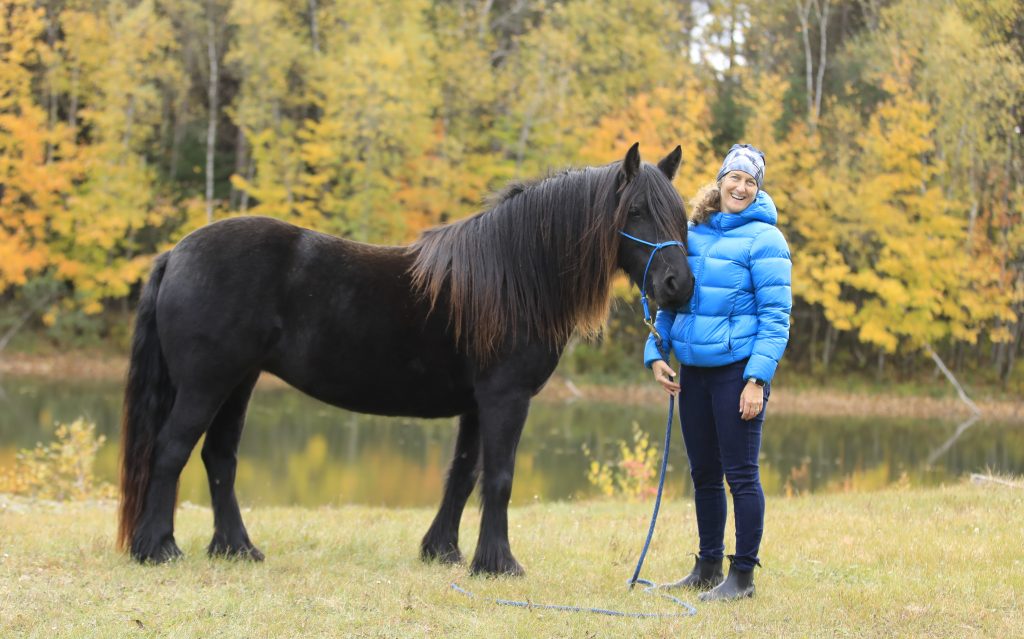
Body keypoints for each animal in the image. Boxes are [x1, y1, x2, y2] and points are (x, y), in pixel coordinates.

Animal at [117, 143, 694, 576]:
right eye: (636, 212)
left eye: (681, 215)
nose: (679, 286)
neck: (512, 275)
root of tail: (175, 254)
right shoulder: (505, 398)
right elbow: (499, 477)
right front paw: (498, 564)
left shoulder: (477, 404)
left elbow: (463, 474)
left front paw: (444, 551)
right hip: (205, 385)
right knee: (170, 452)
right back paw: (158, 548)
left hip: (238, 383)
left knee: (219, 458)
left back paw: (237, 548)